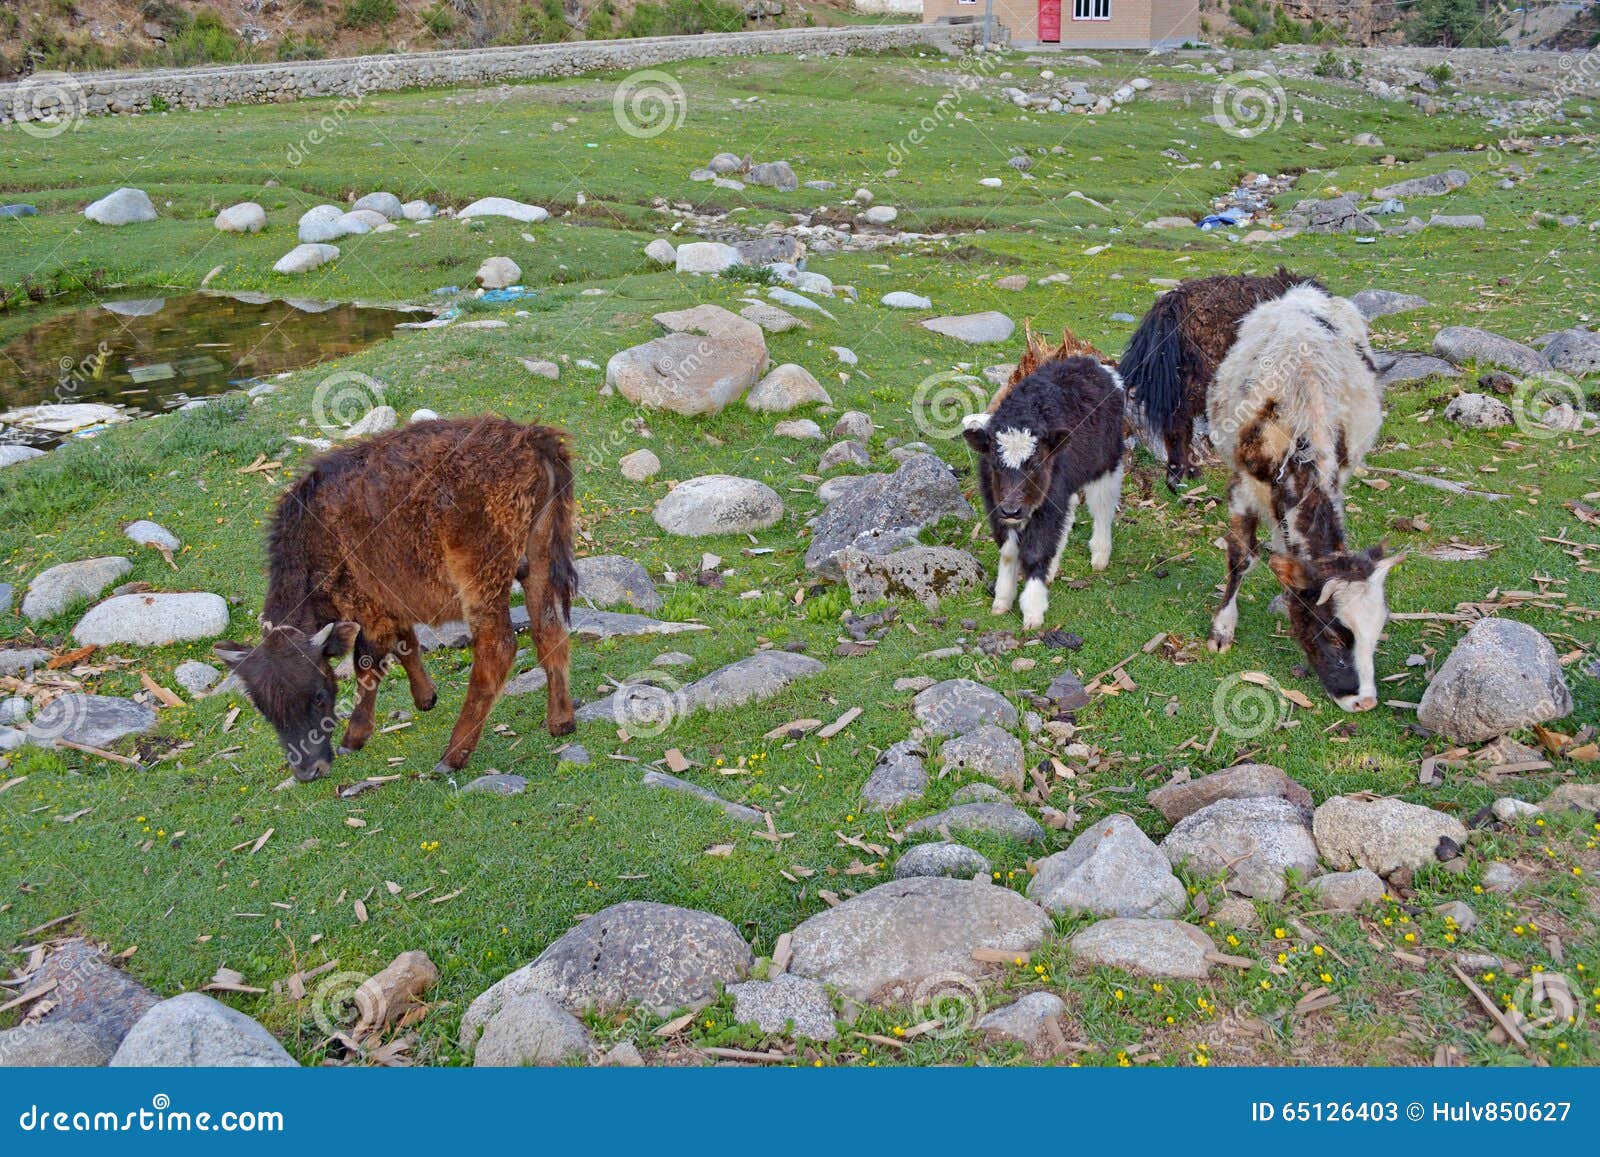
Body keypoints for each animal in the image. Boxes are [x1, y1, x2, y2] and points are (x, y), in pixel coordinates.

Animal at [214, 416, 576, 780]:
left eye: (318, 696)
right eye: (266, 710)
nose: (308, 771)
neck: (316, 530)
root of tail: (531, 439)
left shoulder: (369, 609)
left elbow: (366, 664)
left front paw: (354, 737)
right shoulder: (393, 598)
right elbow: (407, 645)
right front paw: (425, 698)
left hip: (481, 582)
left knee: (497, 649)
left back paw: (452, 756)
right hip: (537, 562)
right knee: (549, 630)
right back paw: (561, 722)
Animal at [962, 328, 1126, 632]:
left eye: (1035, 463)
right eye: (994, 464)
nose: (1012, 510)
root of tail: (1096, 365)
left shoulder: (1047, 501)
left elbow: (1036, 551)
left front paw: (1033, 611)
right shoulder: (995, 504)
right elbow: (1008, 551)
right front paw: (1002, 599)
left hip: (1107, 461)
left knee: (1102, 506)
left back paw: (1100, 554)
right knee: (1069, 513)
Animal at [1204, 284, 1399, 712]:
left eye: (1377, 633)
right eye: (1332, 634)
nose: (1364, 702)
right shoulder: (1243, 486)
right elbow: (1241, 556)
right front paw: (1222, 628)